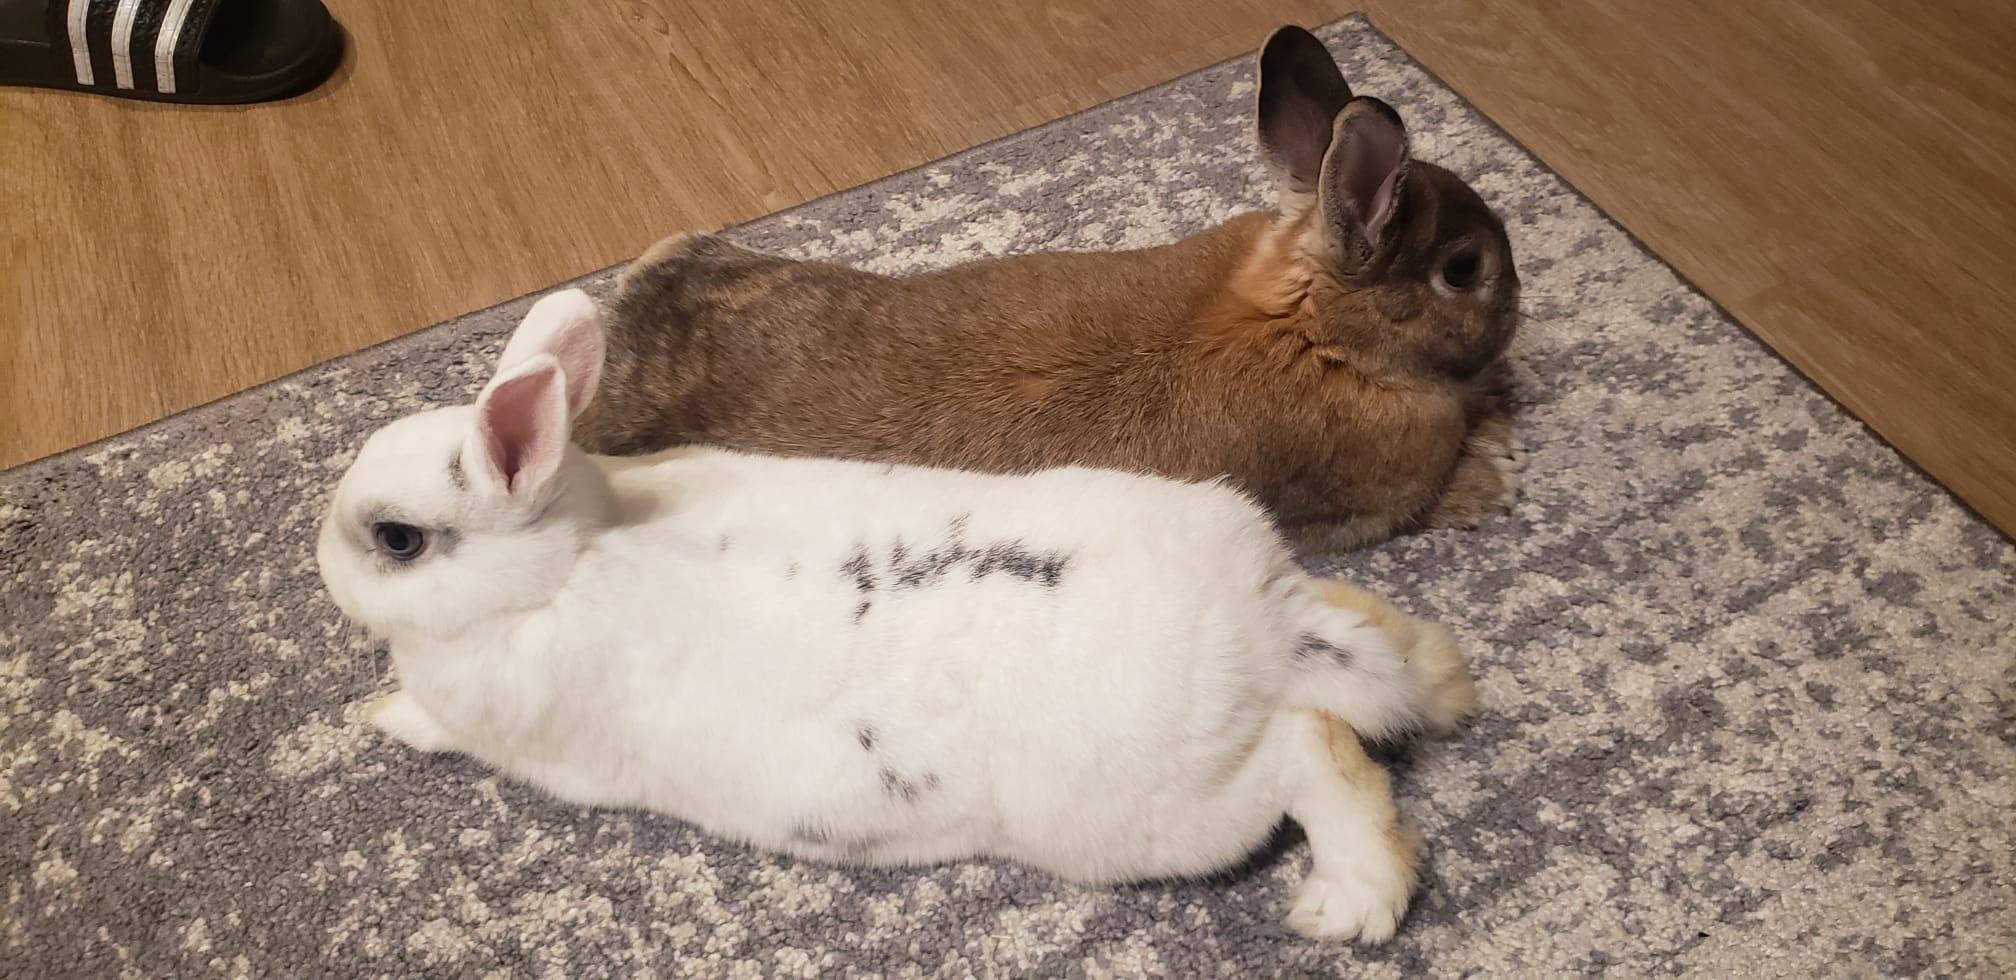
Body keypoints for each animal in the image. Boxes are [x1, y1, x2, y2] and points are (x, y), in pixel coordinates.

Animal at [318, 289, 1479, 943]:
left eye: (397, 538)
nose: (321, 557)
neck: (563, 559)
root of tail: (1261, 638)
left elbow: (436, 721)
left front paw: (378, 715)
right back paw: (1447, 677)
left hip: (1164, 816)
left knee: (1317, 754)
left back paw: (1348, 906)